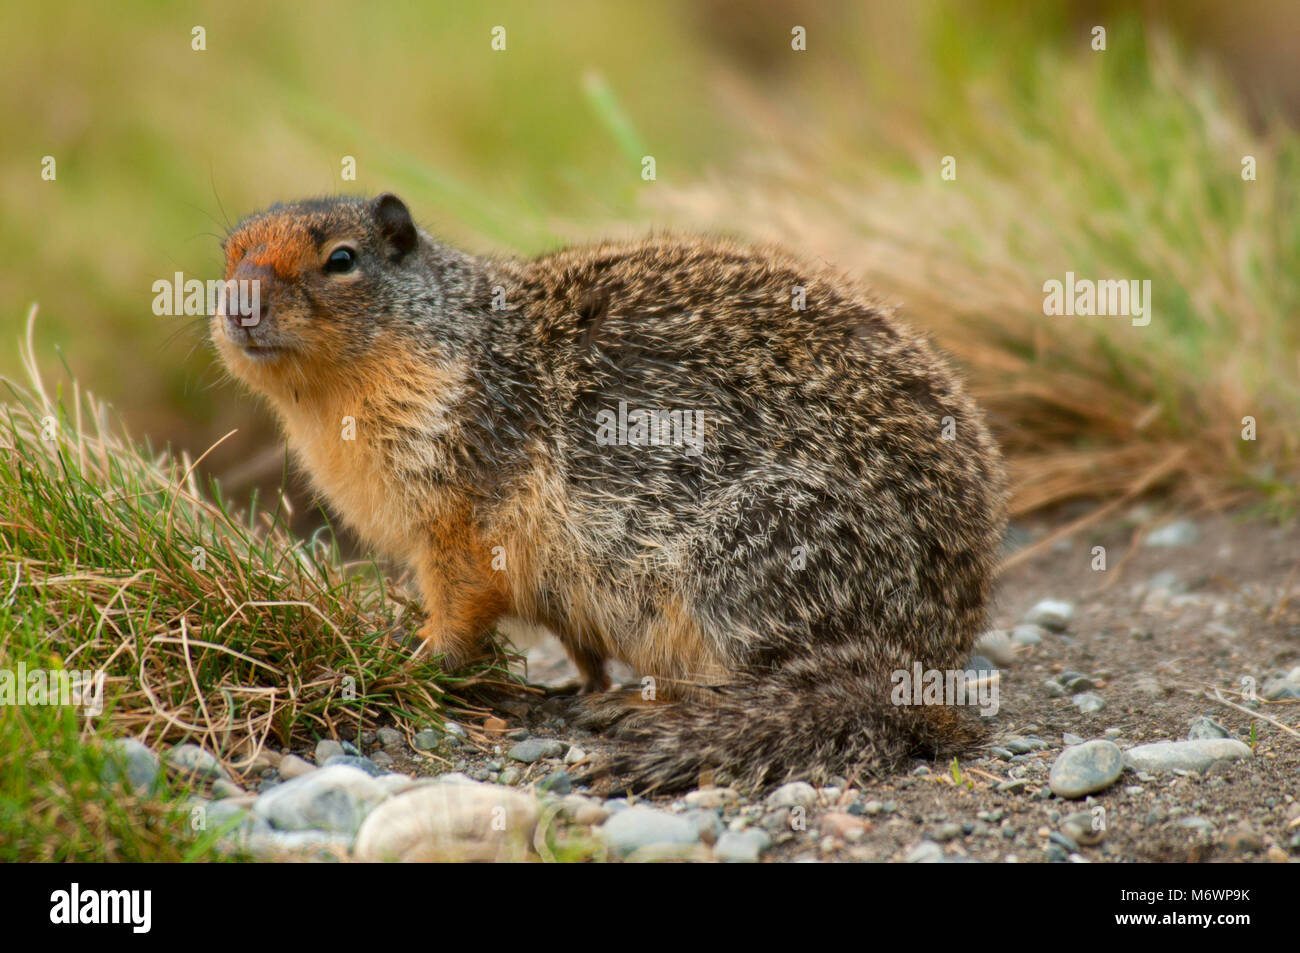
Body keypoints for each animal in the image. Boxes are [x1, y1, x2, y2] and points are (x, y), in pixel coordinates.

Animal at [212, 193, 1007, 793]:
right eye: (227, 255)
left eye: (341, 259)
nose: (239, 304)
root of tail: (930, 656)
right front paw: (576, 678)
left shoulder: (466, 501)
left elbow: (460, 595)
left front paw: (410, 656)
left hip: (756, 549)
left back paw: (649, 708)